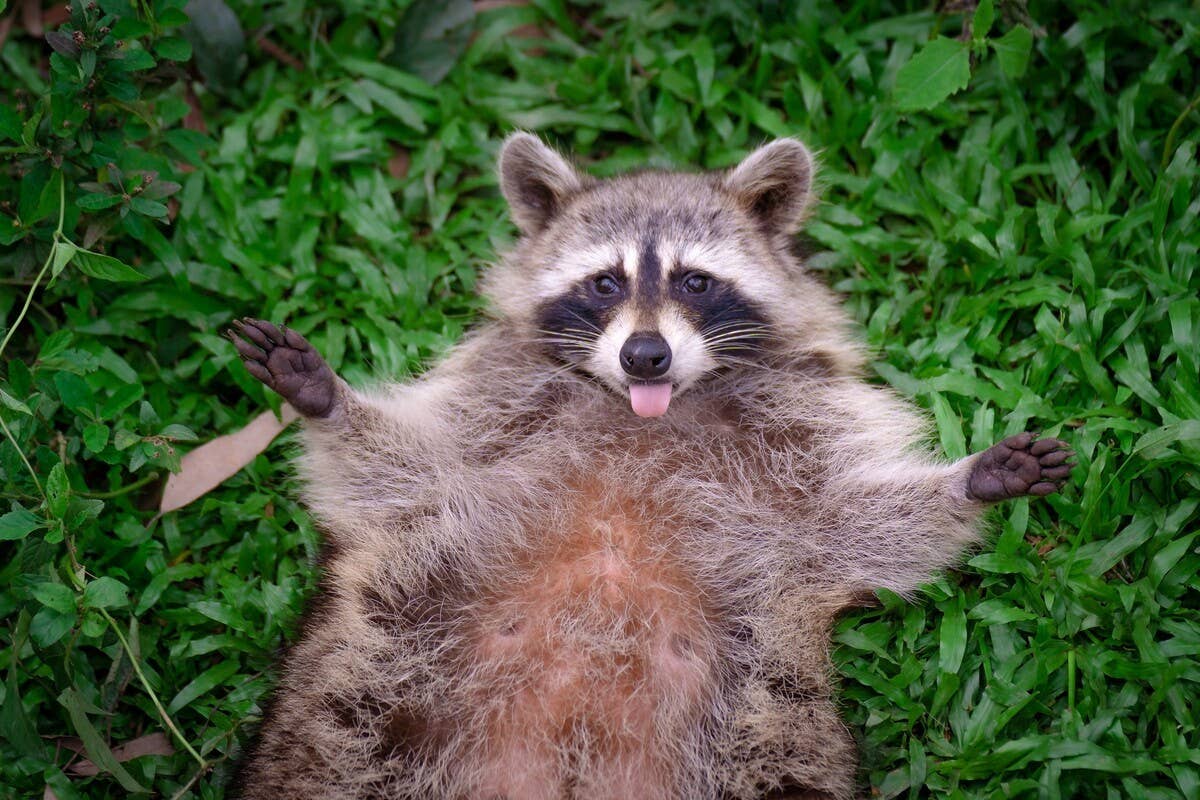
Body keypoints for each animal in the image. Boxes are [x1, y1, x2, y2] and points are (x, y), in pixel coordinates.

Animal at [227, 134, 1071, 800]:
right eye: (606, 281)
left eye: (696, 281)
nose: (645, 353)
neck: (645, 413)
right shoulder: (490, 410)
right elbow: (397, 468)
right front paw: (326, 400)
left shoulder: (800, 443)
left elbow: (865, 525)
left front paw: (969, 482)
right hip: (366, 688)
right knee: (334, 735)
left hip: (767, 723)